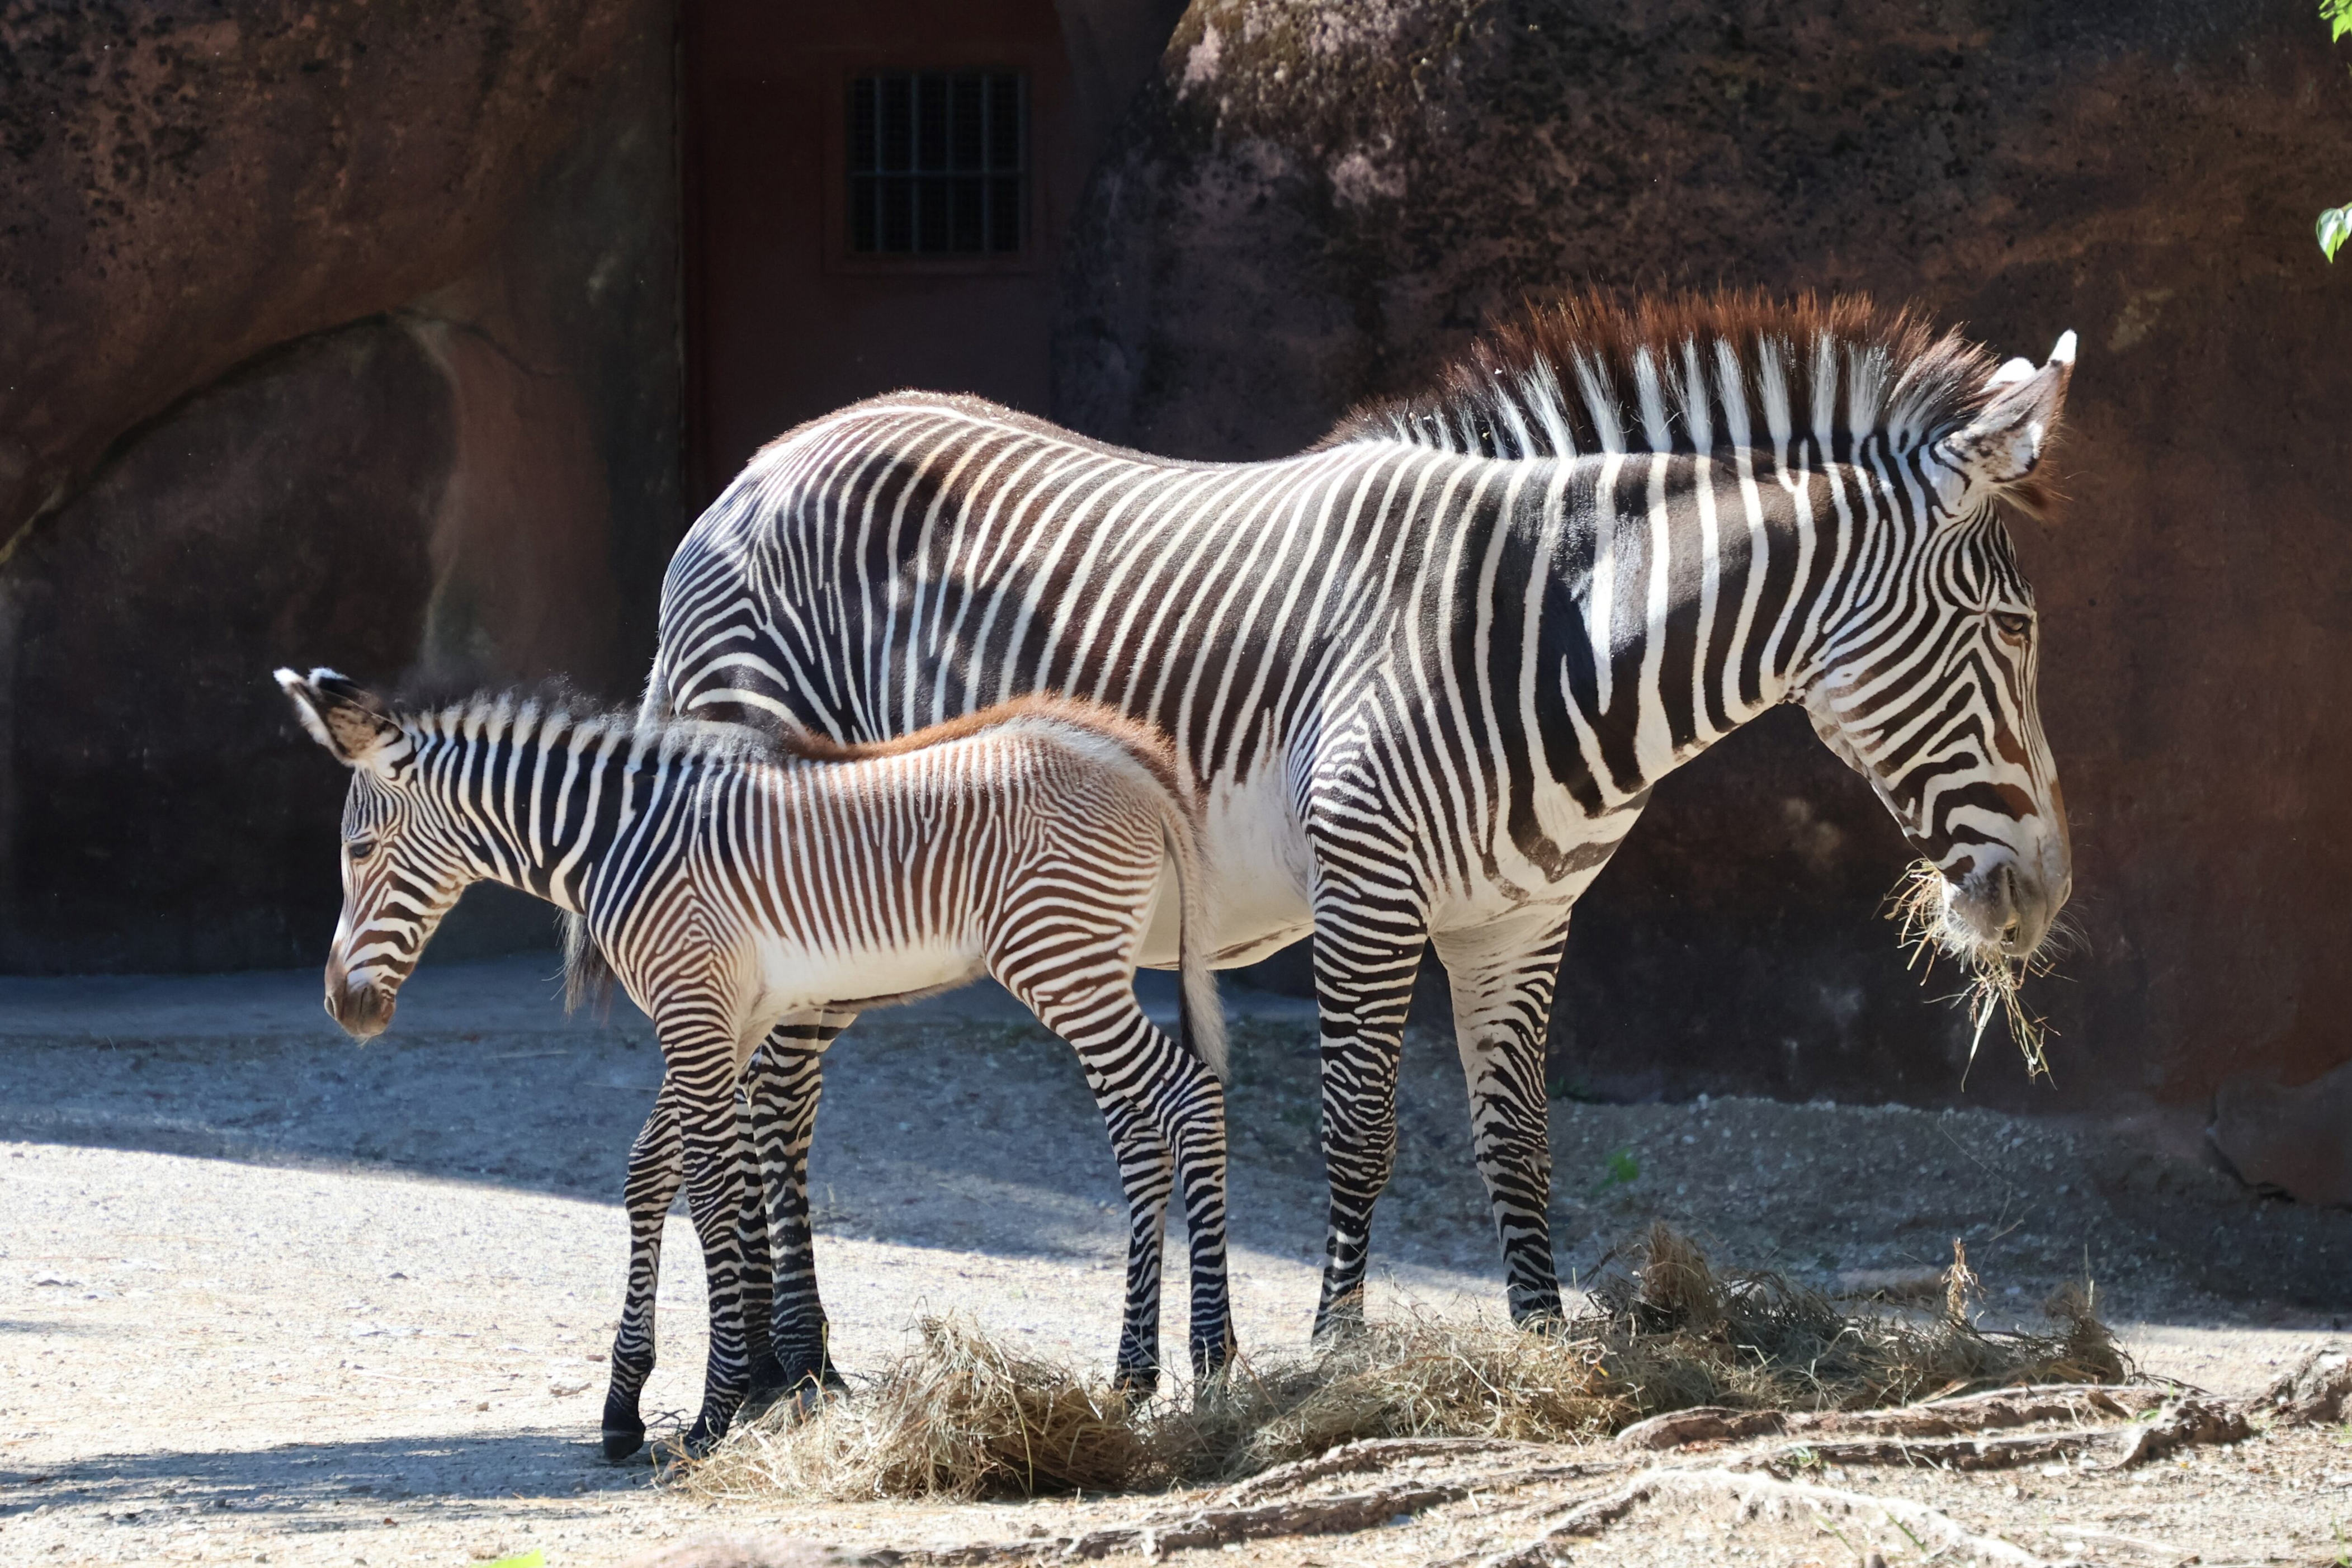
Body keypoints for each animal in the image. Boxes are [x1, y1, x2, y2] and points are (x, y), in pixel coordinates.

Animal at [275, 670, 1233, 1458]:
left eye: (357, 852)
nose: (342, 1009)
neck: (618, 839)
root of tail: (1127, 758)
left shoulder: (691, 1008)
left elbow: (707, 1185)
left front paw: (715, 1410)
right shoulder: (725, 1018)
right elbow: (649, 1171)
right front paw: (623, 1406)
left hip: (1059, 960)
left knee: (1191, 1096)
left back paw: (1215, 1361)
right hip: (1086, 968)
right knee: (1146, 1133)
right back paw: (1133, 1376)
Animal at [628, 290, 2077, 1342]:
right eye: (2011, 630)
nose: (2049, 892)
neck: (1556, 633)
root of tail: (754, 470)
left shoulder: (1520, 918)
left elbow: (1516, 1136)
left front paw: (1544, 1343)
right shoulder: (1368, 888)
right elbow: (1360, 1129)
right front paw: (1337, 1347)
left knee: (778, 1090)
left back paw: (797, 1367)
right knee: (770, 1095)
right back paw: (782, 1372)